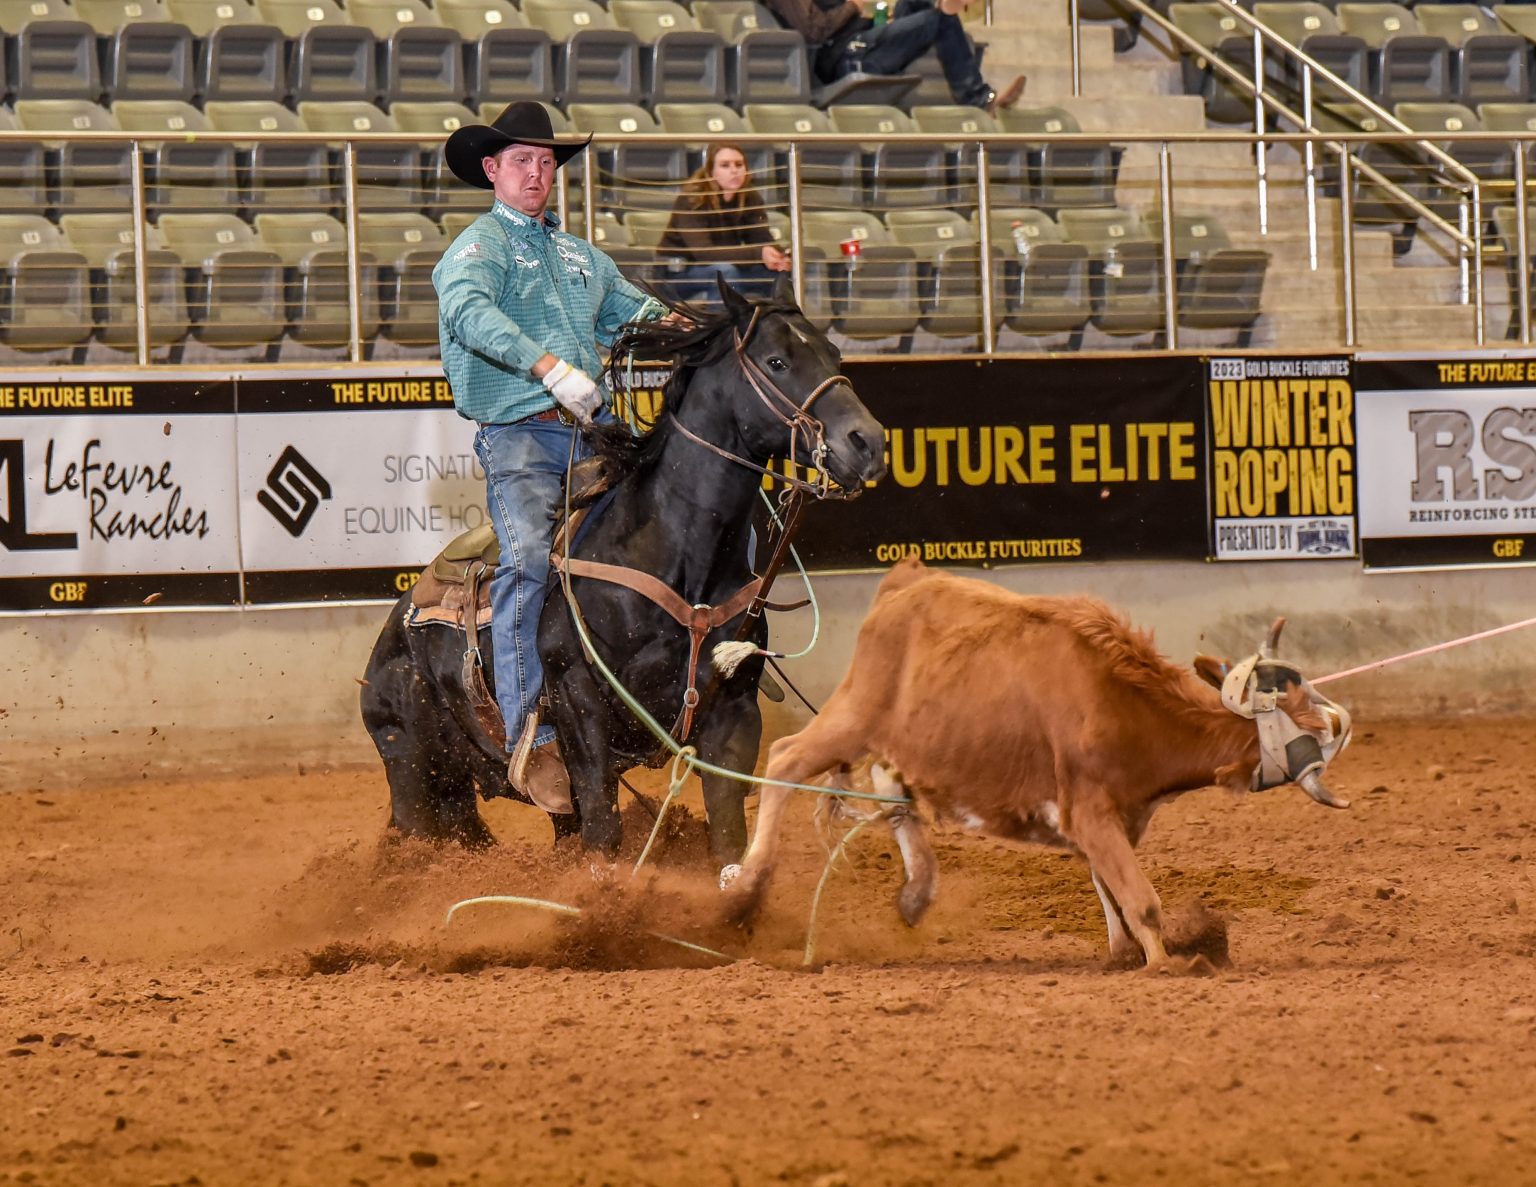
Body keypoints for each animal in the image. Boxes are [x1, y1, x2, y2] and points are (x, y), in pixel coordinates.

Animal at [361, 277, 887, 873]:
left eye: (835, 354)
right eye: (777, 361)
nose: (868, 442)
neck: (674, 555)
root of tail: (395, 628)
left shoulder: (734, 712)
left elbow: (728, 837)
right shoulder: (579, 709)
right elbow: (603, 834)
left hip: (459, 790)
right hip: (411, 768)